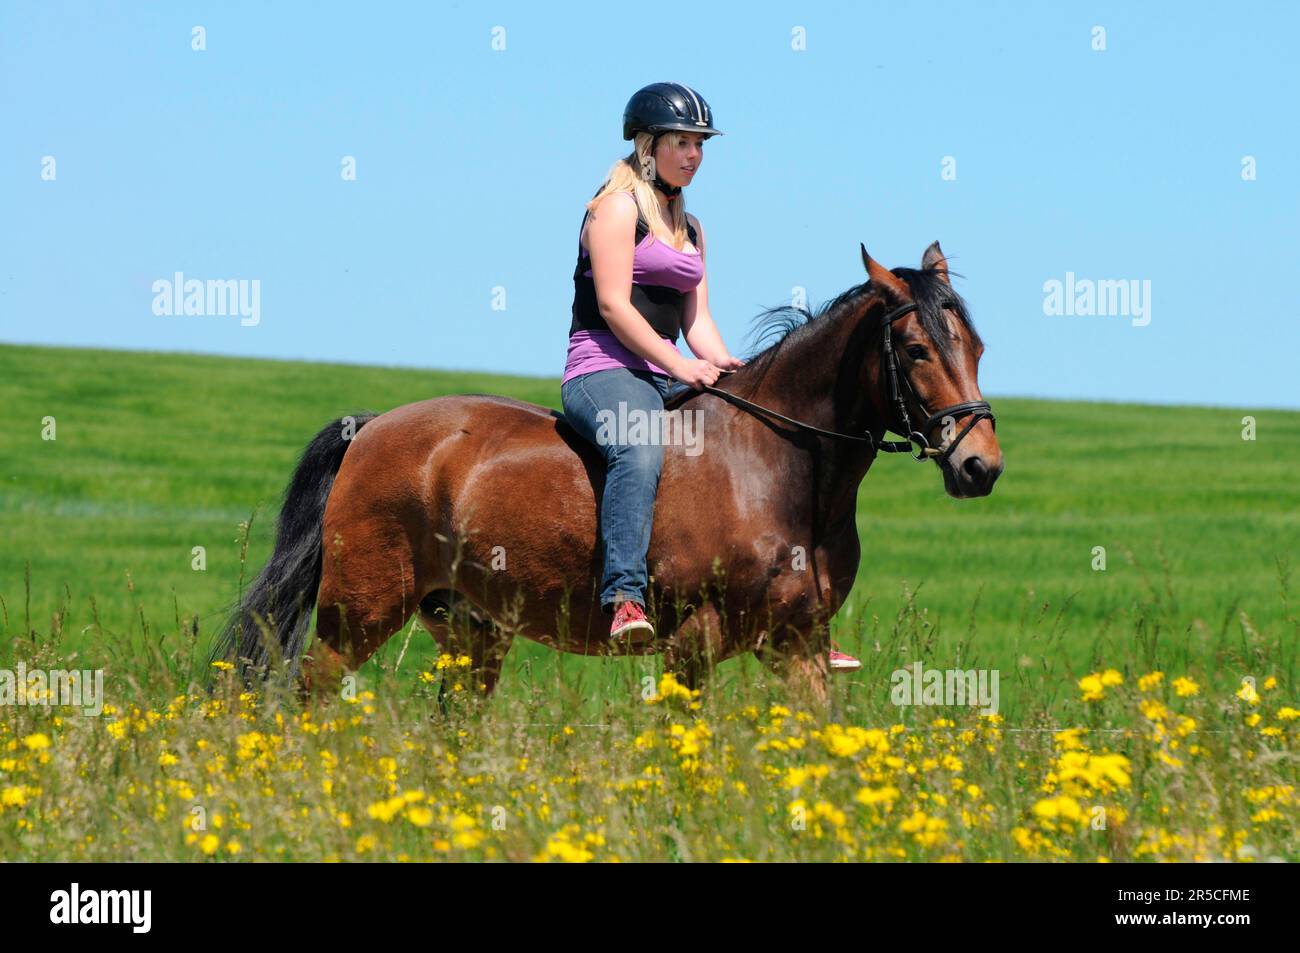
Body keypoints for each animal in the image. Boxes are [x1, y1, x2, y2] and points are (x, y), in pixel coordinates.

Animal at [213, 241, 1002, 706]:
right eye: (915, 348)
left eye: (977, 345)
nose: (980, 466)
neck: (780, 472)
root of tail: (372, 427)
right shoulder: (694, 642)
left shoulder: (798, 644)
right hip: (358, 614)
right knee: (306, 698)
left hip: (471, 629)